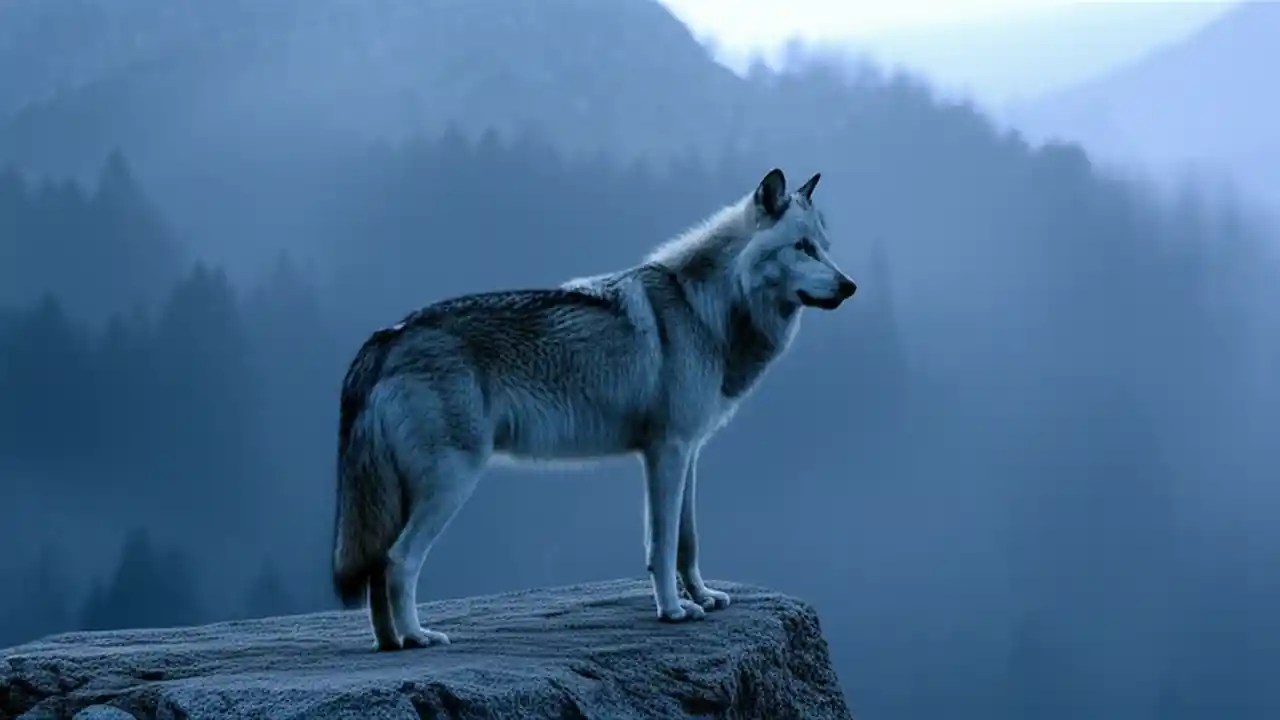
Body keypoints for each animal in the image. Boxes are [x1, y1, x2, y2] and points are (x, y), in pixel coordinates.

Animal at [331, 168, 856, 650]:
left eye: (825, 247)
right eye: (803, 248)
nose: (850, 286)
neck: (705, 309)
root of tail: (387, 336)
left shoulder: (688, 453)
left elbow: (687, 542)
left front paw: (703, 598)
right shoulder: (666, 453)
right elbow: (663, 544)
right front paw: (672, 610)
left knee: (377, 569)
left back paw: (390, 643)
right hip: (450, 484)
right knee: (398, 561)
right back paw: (418, 636)